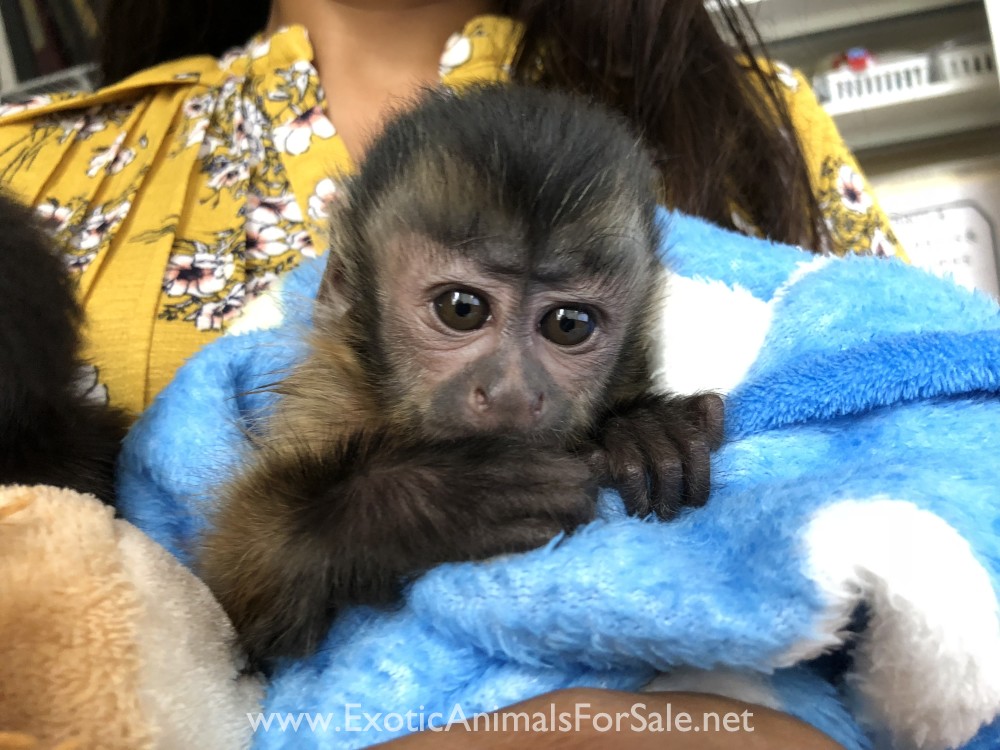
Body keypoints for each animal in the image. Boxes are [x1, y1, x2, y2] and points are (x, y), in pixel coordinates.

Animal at [198, 84, 725, 667]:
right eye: (462, 309)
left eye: (569, 324)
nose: (512, 393)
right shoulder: (327, 398)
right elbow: (230, 593)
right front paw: (436, 502)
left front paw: (642, 431)